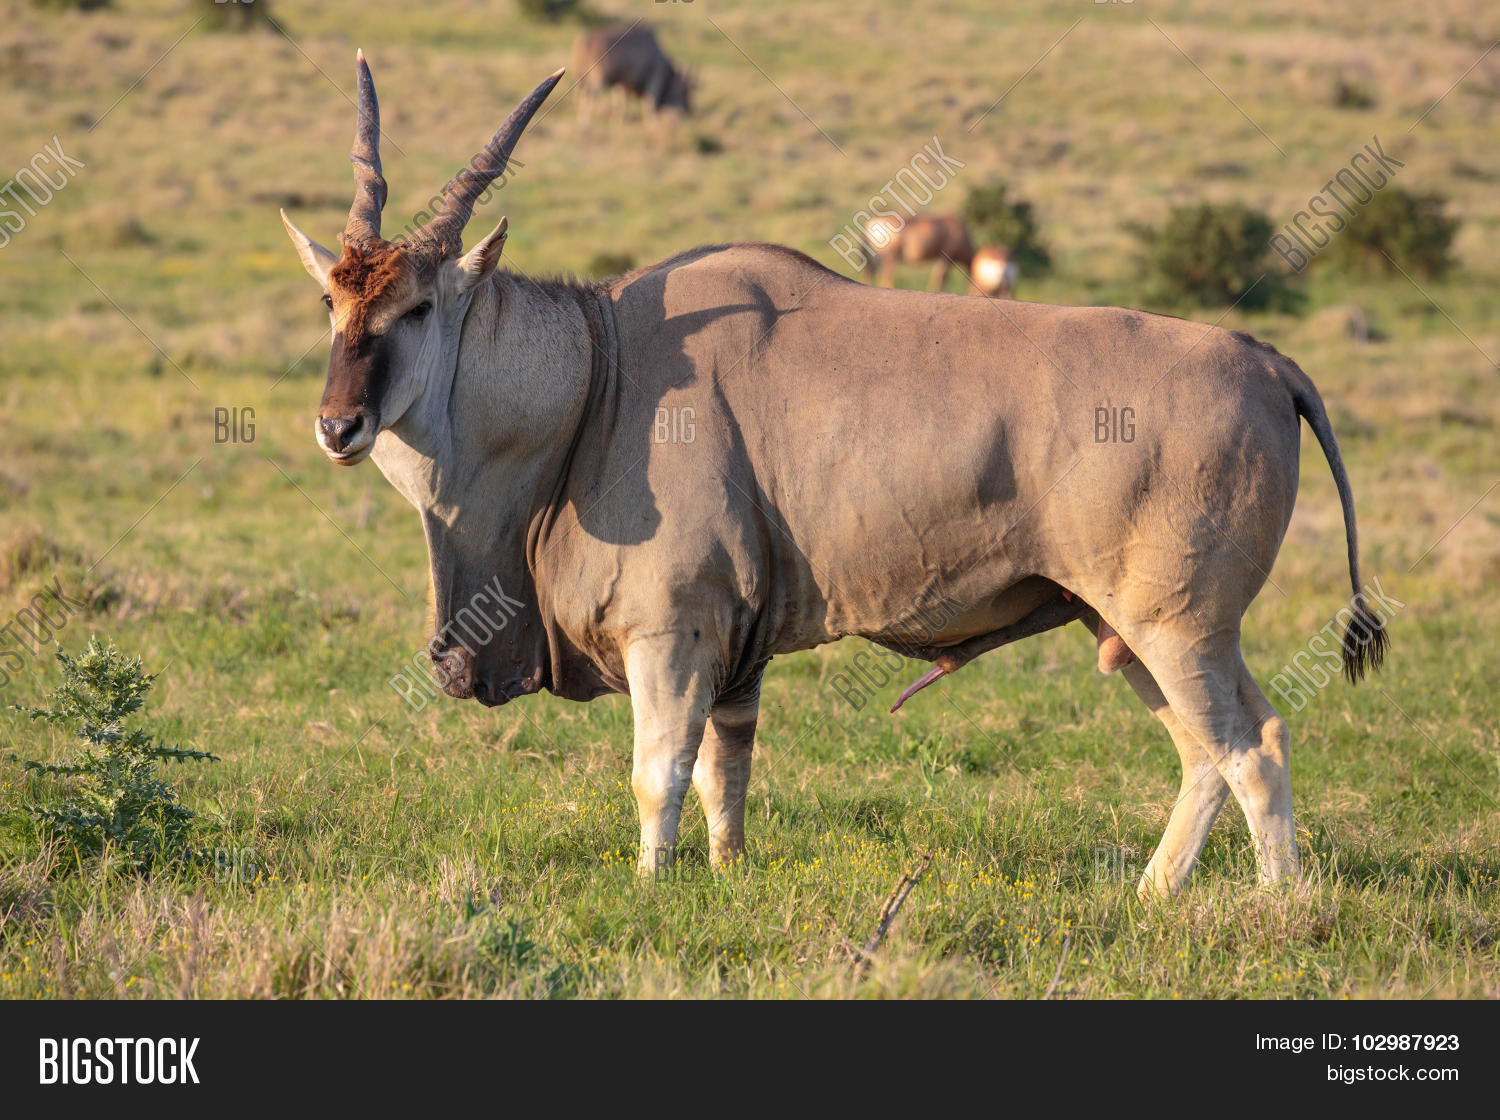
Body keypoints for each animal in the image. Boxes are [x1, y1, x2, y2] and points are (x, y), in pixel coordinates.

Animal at [281, 55, 1388, 898]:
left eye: (420, 305)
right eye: (332, 301)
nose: (339, 424)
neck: (600, 370)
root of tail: (1268, 363)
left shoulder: (669, 633)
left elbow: (658, 775)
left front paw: (651, 888)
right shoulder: (733, 653)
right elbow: (725, 775)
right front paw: (725, 876)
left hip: (1175, 629)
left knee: (1242, 749)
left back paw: (1249, 908)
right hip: (1137, 631)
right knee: (1234, 744)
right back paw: (1189, 897)